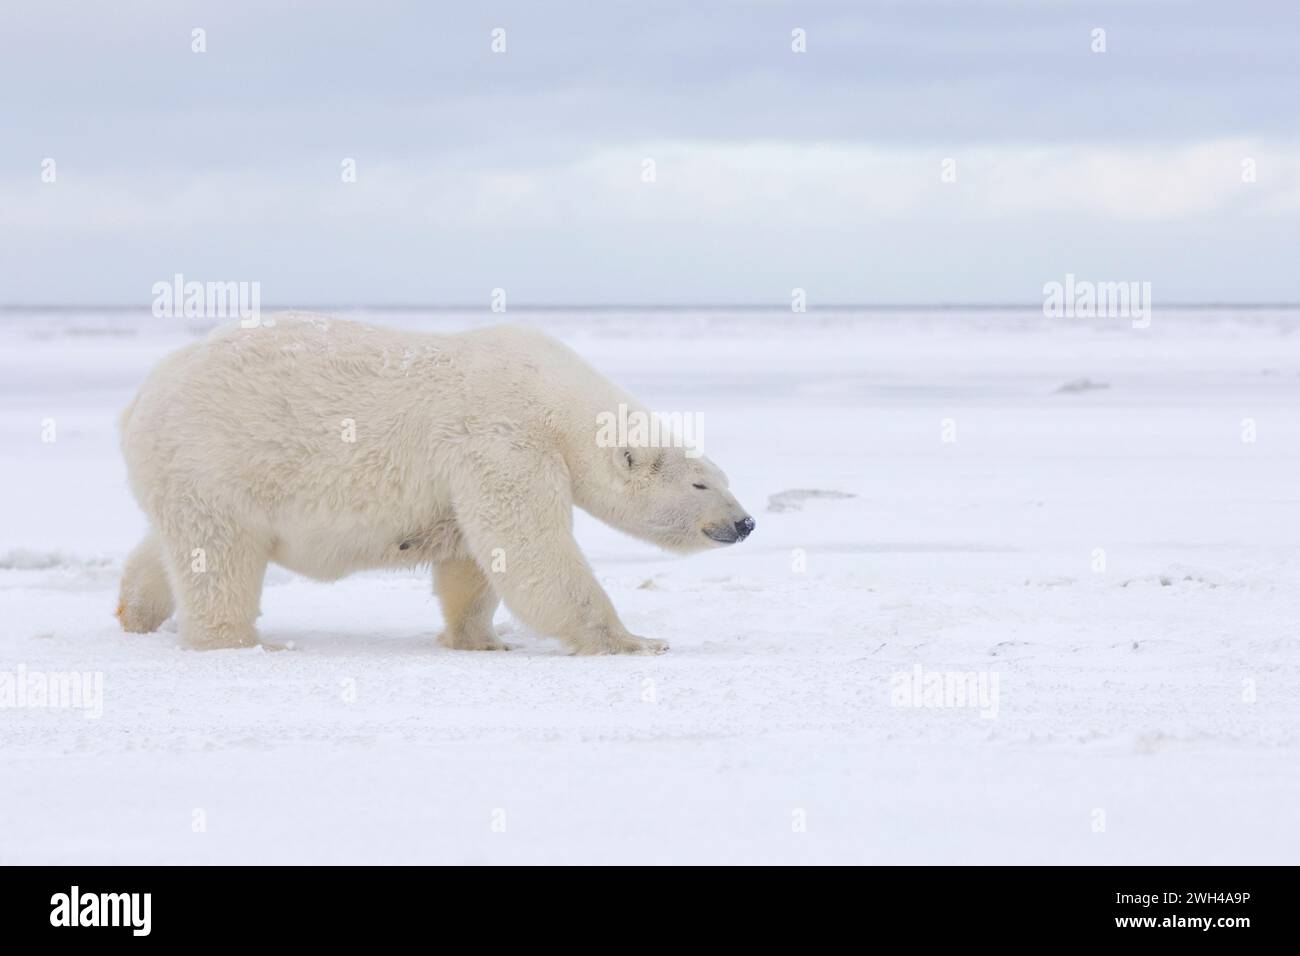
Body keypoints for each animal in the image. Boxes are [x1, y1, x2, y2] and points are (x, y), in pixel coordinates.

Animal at [116, 313, 754, 655]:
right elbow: (530, 548)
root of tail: (139, 398)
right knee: (219, 555)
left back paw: (135, 612)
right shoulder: (504, 438)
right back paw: (241, 640)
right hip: (215, 458)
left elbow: (472, 559)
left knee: (168, 544)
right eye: (701, 486)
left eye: (723, 477)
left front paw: (482, 640)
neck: (554, 395)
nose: (745, 522)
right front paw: (634, 640)